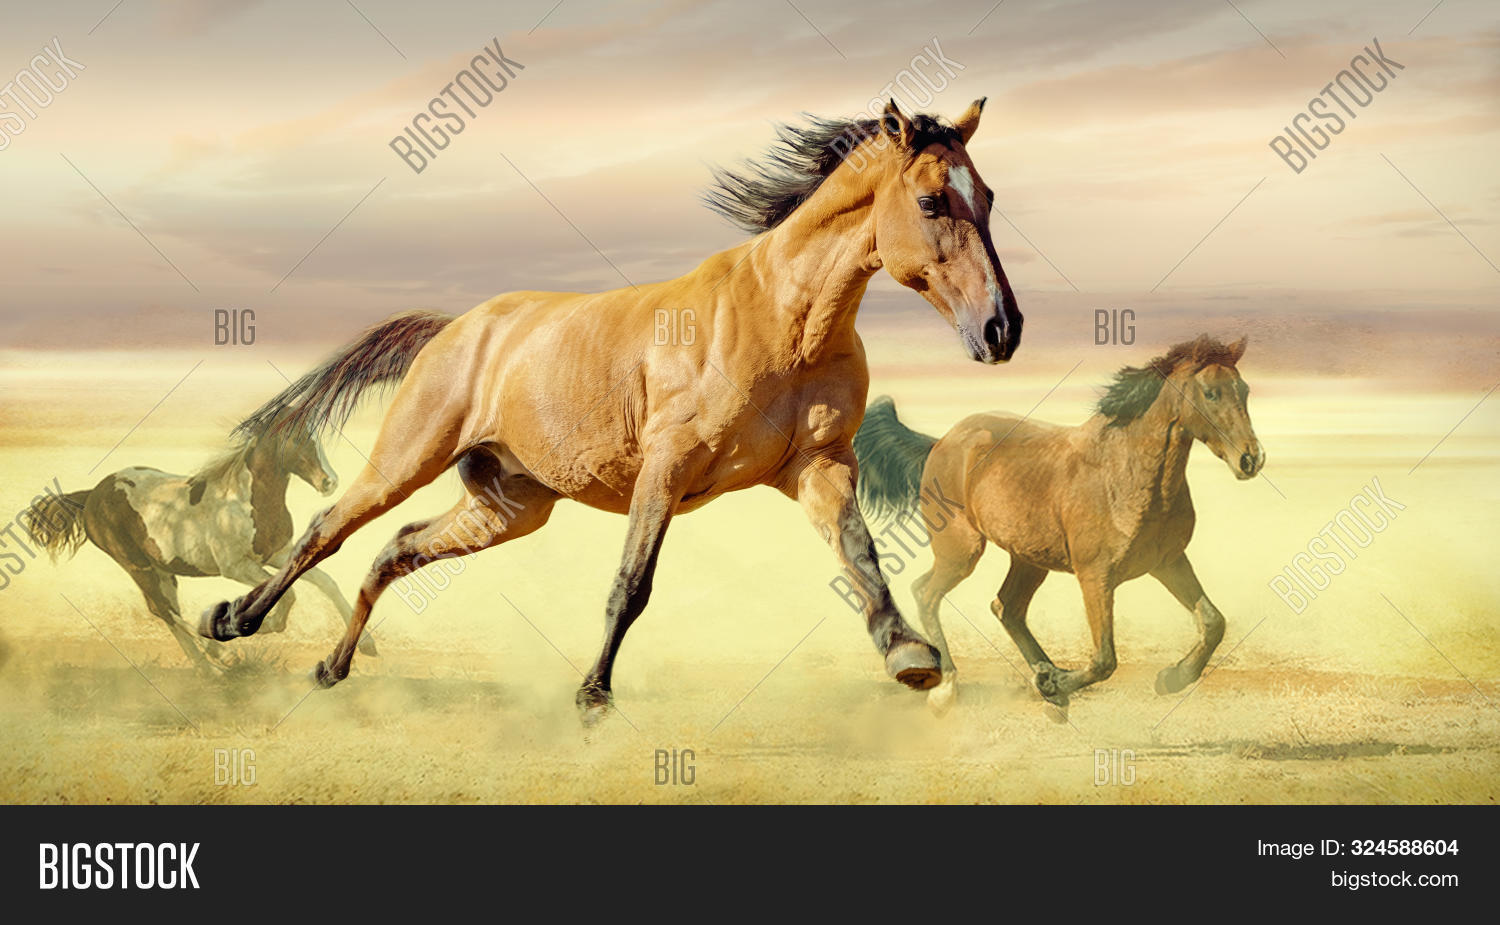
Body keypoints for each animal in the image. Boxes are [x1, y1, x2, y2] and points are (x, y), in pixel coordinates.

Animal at [22, 423, 376, 672]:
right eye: (300, 438)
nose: (330, 481)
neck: (245, 498)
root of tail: (91, 496)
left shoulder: (277, 553)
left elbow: (325, 582)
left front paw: (368, 645)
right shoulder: (236, 567)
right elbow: (285, 595)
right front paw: (259, 628)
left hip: (163, 570)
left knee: (164, 612)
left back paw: (208, 670)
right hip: (137, 566)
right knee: (164, 610)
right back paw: (220, 655)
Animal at [193, 98, 1024, 724]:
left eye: (987, 198)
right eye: (931, 200)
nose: (1002, 330)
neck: (780, 319)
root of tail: (456, 327)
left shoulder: (819, 467)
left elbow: (860, 556)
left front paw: (911, 657)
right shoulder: (667, 466)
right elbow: (632, 583)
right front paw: (593, 695)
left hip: (510, 507)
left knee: (394, 548)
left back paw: (330, 669)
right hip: (406, 459)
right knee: (327, 529)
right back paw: (232, 620)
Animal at [853, 336, 1264, 720]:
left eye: (1243, 390)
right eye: (1210, 392)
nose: (1251, 459)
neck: (1124, 473)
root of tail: (941, 443)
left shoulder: (1169, 561)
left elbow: (1213, 622)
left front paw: (1171, 679)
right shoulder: (1095, 576)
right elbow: (1105, 659)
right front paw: (1061, 683)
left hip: (1029, 559)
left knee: (1007, 607)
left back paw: (1046, 680)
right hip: (961, 550)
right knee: (927, 593)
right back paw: (949, 689)